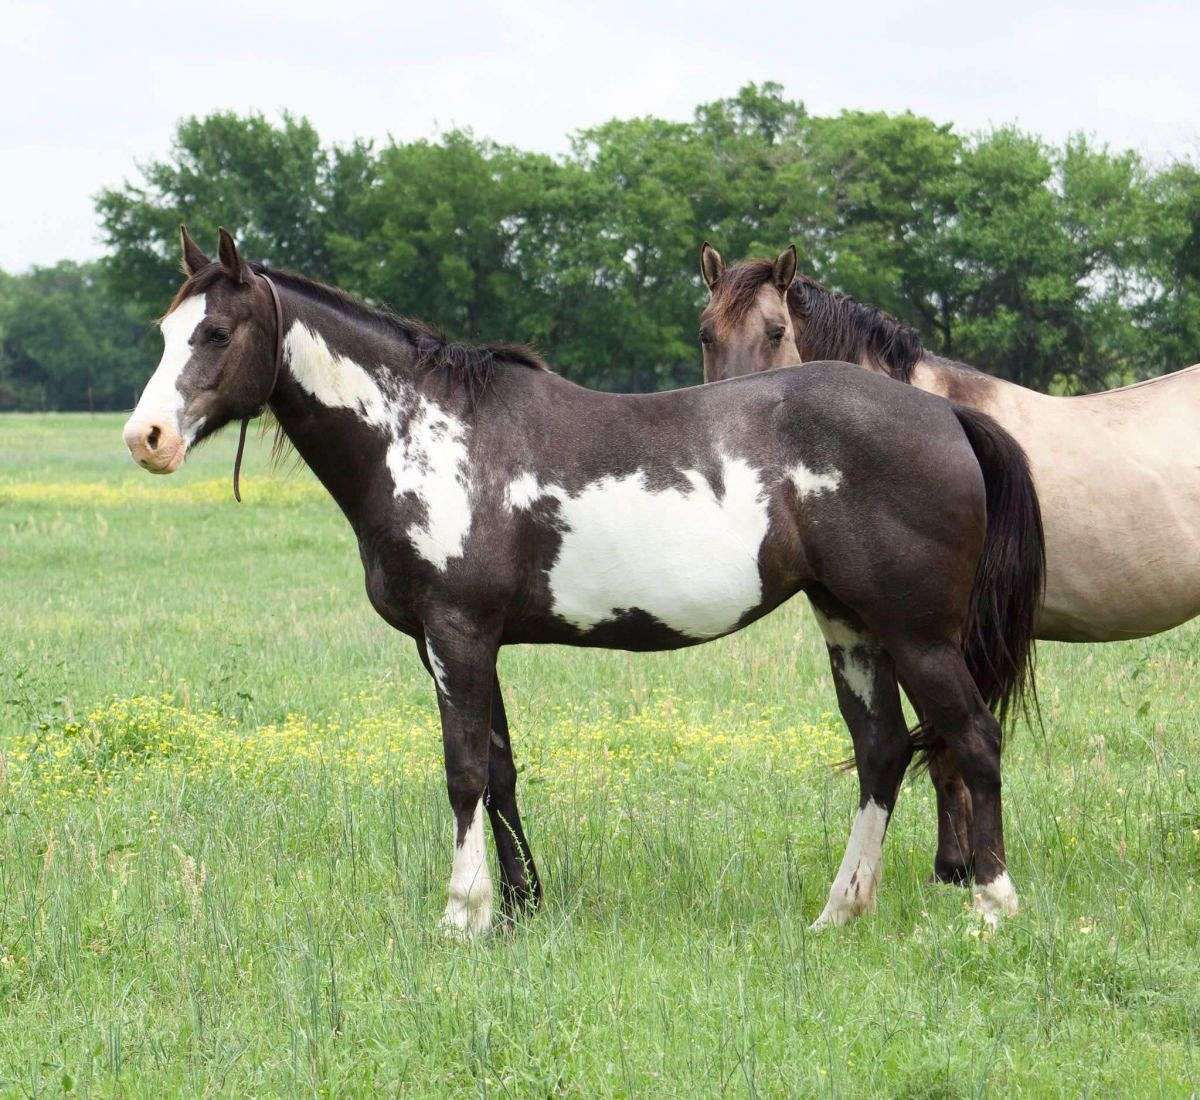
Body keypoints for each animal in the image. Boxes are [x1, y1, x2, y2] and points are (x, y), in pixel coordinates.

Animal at [122, 227, 1045, 933]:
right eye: (165, 333)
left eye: (215, 334)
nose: (147, 438)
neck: (425, 433)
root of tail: (945, 413)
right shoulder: (466, 642)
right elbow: (499, 771)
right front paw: (520, 906)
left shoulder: (457, 635)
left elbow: (463, 771)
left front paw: (463, 915)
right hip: (849, 624)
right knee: (882, 751)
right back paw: (840, 912)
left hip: (917, 635)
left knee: (972, 740)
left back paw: (992, 909)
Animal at [698, 240, 1200, 882]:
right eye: (706, 332)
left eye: (776, 330)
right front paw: (956, 865)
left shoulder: (927, 635)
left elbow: (946, 744)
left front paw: (960, 865)